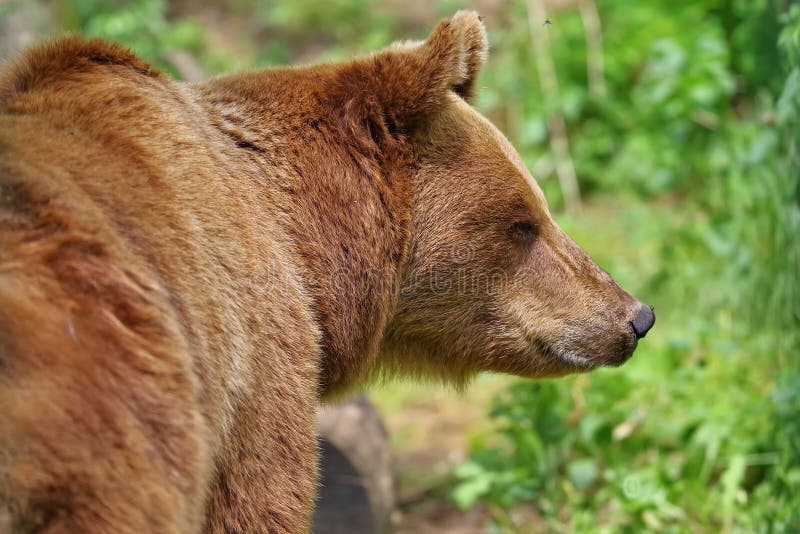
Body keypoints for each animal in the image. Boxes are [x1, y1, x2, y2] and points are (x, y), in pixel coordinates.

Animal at [0, 10, 654, 534]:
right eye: (522, 222)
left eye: (538, 208)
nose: (636, 315)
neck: (305, 241)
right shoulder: (251, 371)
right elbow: (261, 497)